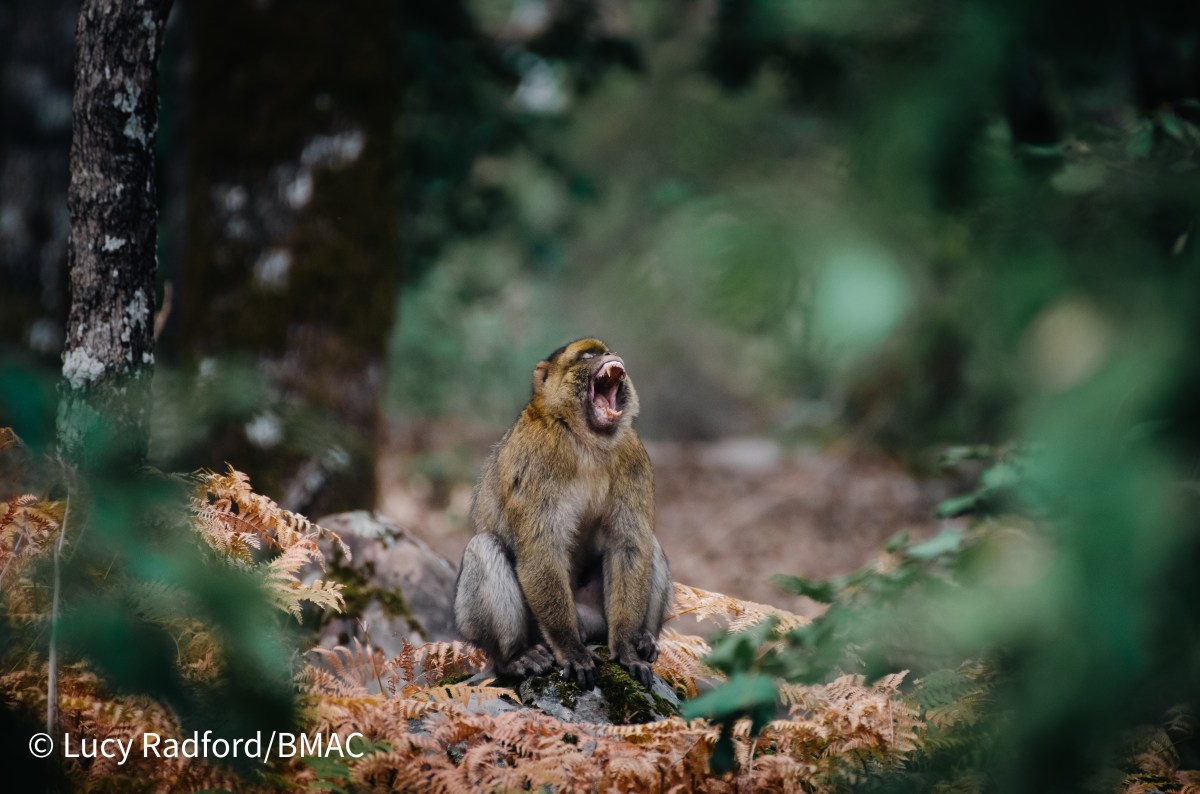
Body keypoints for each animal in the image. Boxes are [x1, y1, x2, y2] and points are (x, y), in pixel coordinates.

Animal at [453, 338, 672, 690]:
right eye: (589, 355)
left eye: (606, 351)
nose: (612, 356)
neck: (586, 439)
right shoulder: (537, 456)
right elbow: (542, 551)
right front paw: (571, 650)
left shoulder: (632, 454)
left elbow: (629, 546)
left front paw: (626, 648)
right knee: (483, 546)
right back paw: (514, 658)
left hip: (596, 618)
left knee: (647, 543)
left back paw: (645, 638)